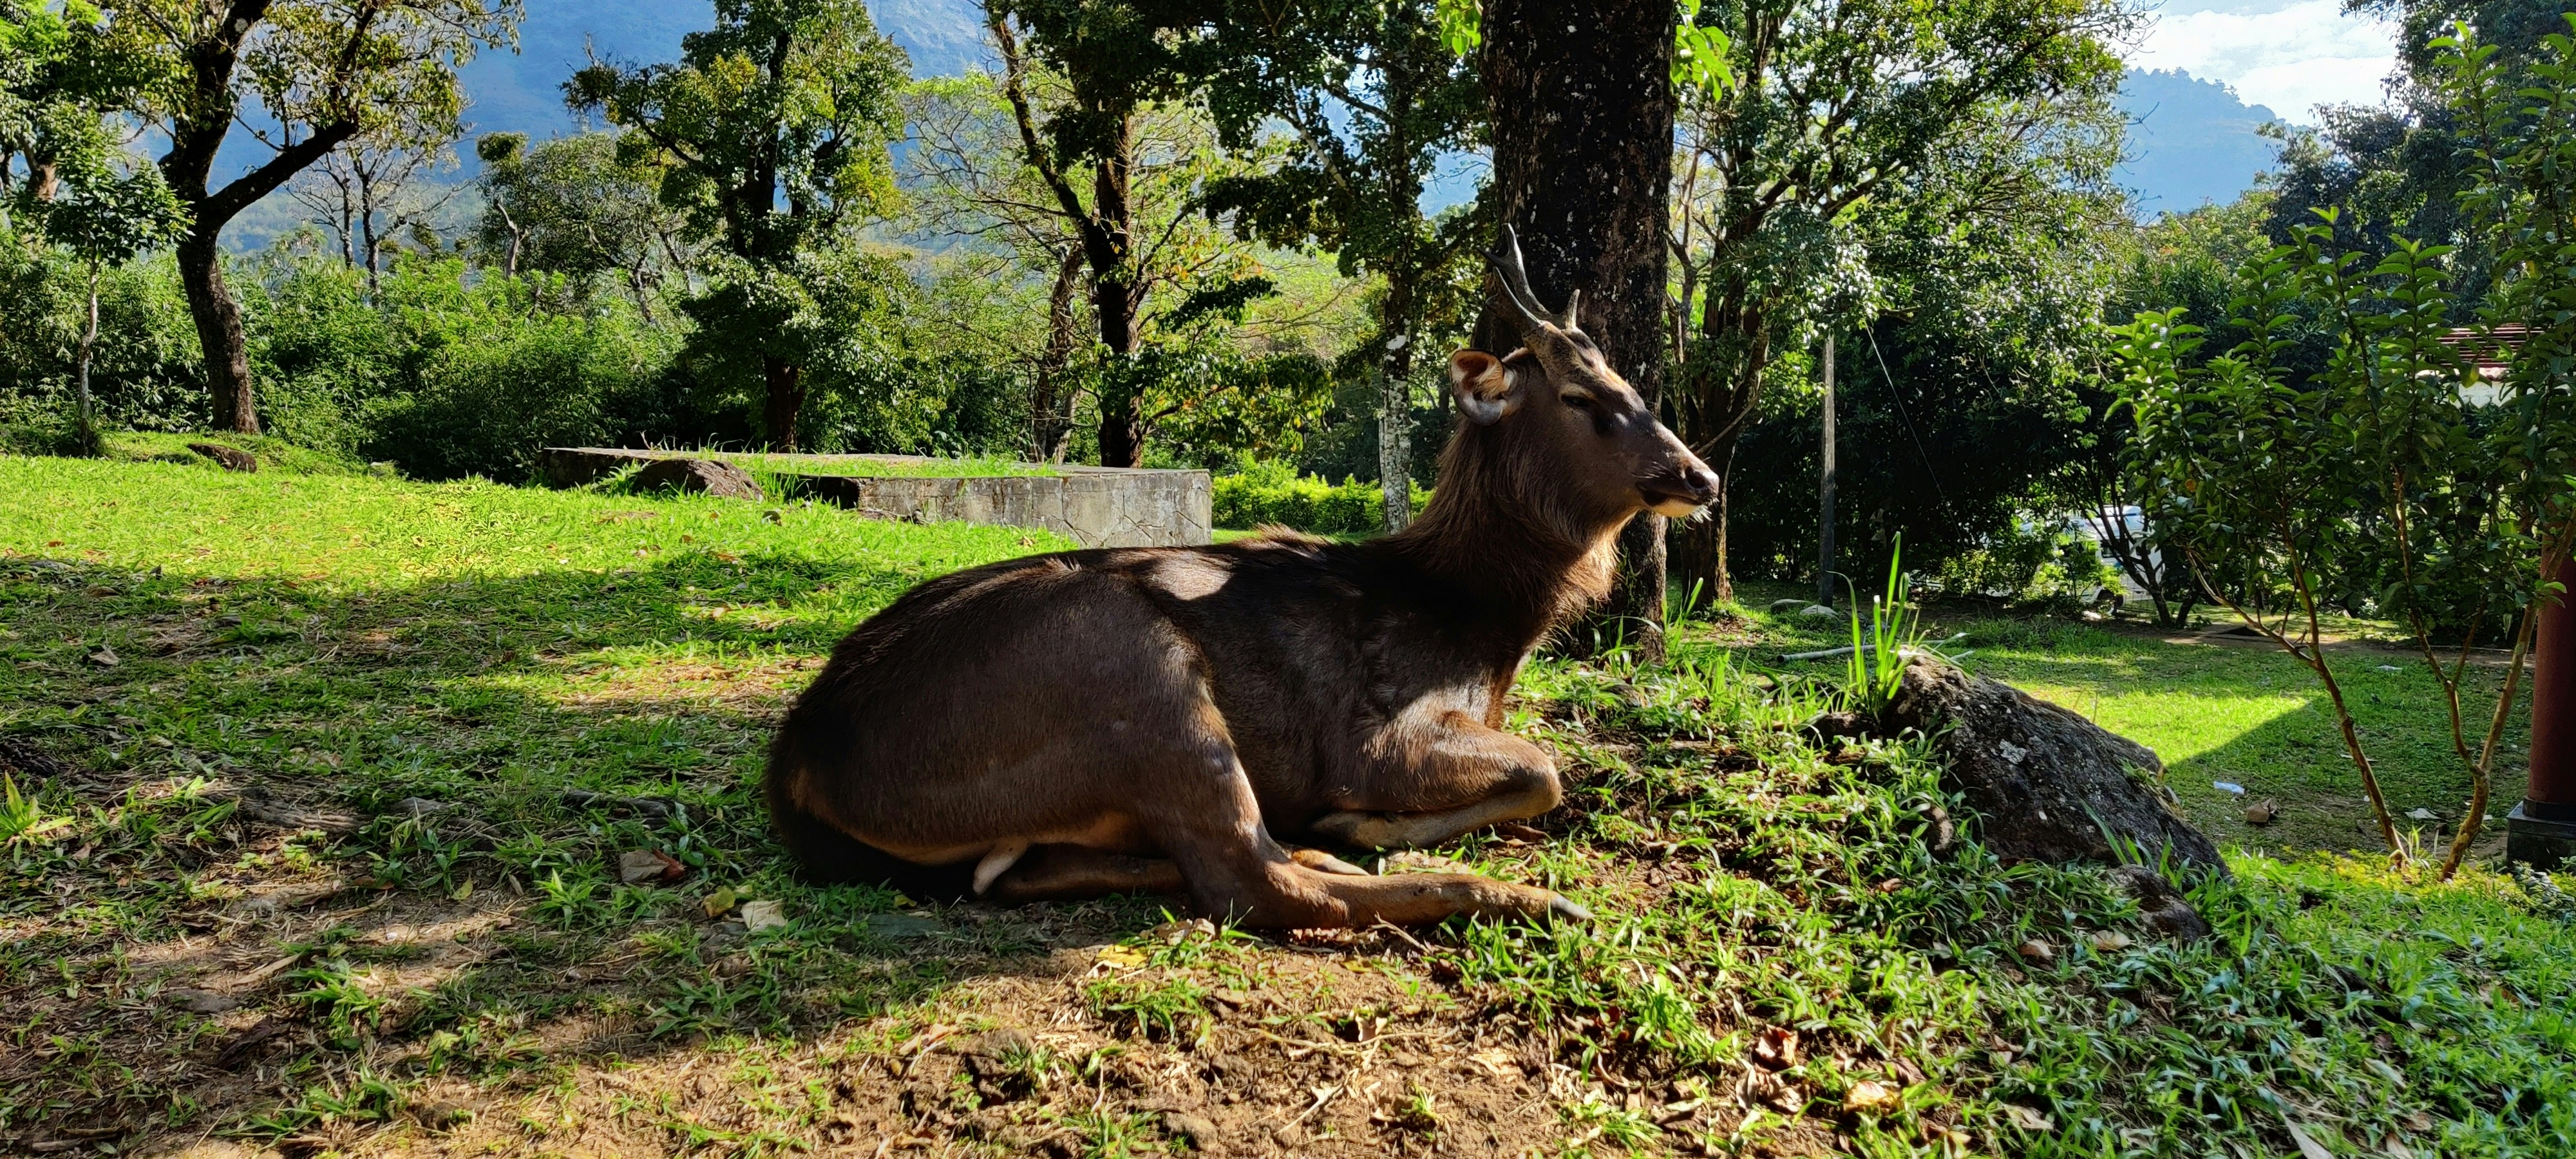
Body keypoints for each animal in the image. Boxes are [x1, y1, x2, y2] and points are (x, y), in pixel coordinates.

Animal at [765, 229, 1719, 928]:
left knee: (1027, 873)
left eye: (1630, 383)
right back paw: (1521, 896)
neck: (1482, 624)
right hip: (1138, 675)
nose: (1700, 477)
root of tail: (800, 767)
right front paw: (1362, 819)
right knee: (1252, 884)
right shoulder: (1378, 734)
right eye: (1581, 399)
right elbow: (1545, 770)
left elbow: (1543, 769)